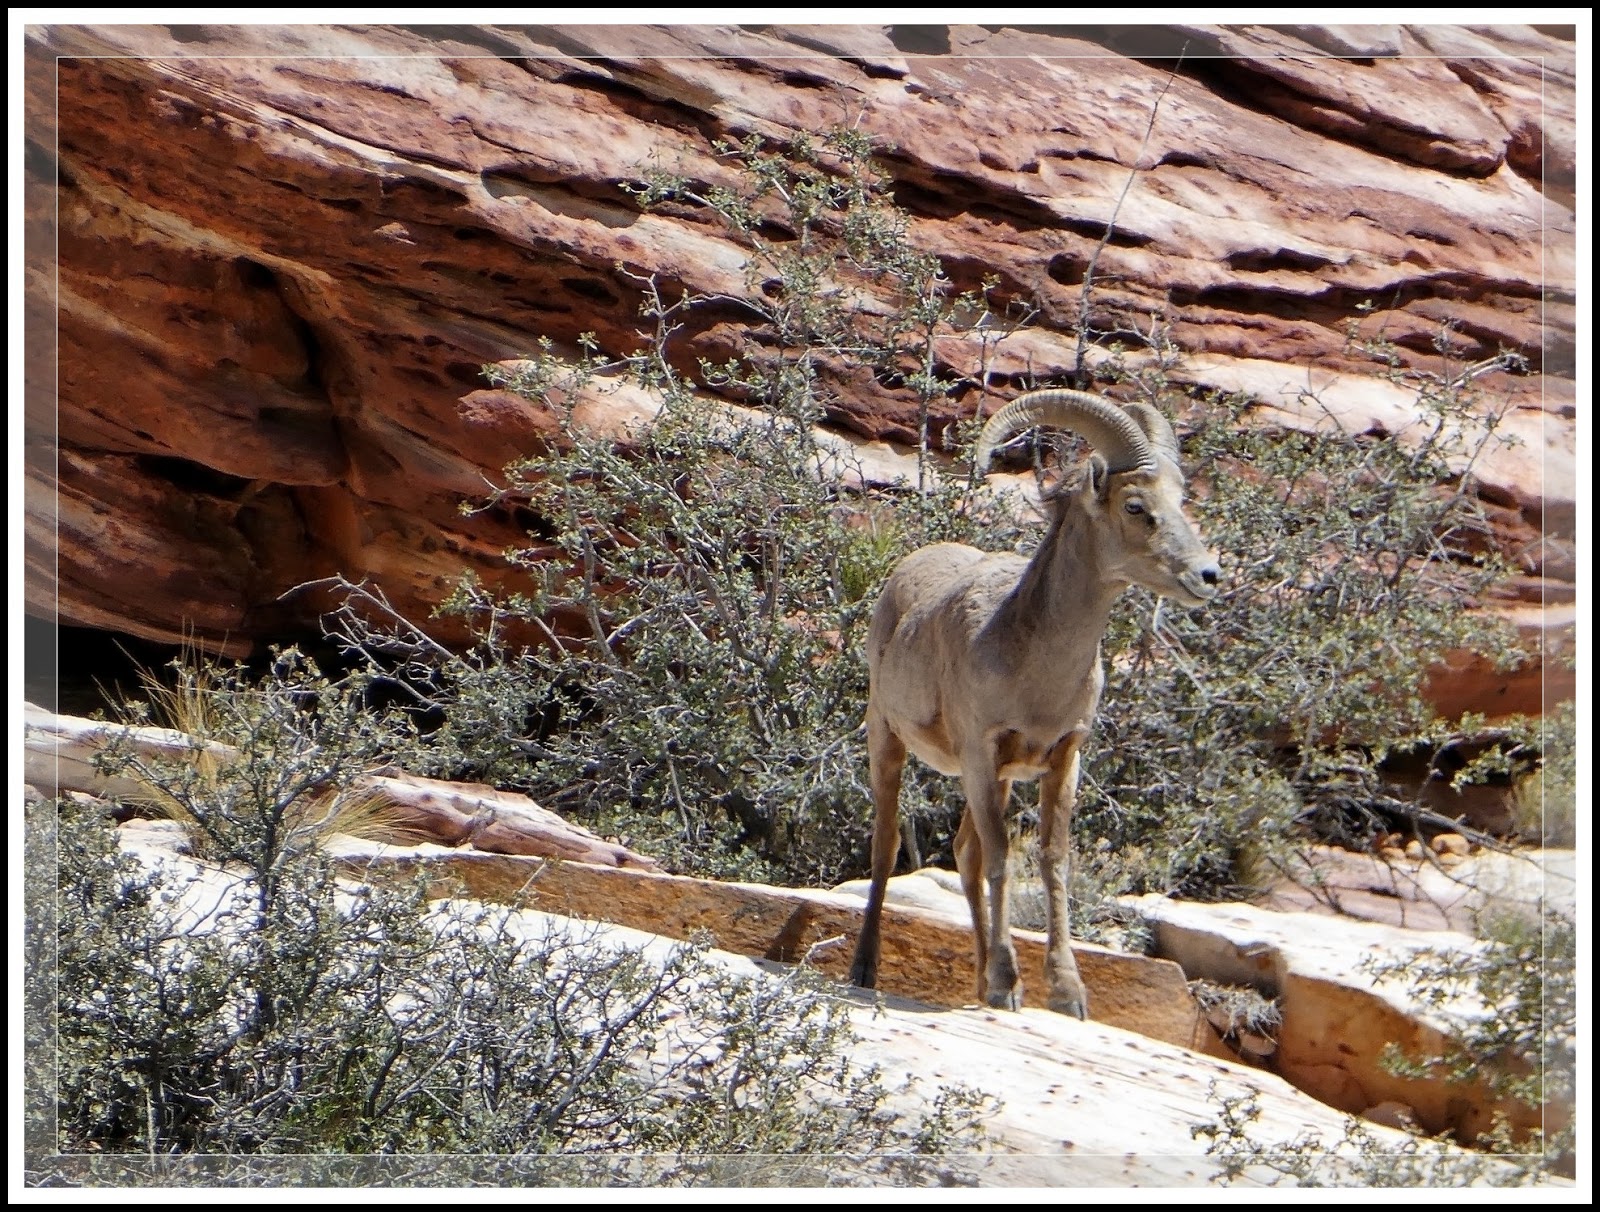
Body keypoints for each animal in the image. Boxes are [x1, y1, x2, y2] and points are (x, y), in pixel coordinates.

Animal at [847, 389, 1221, 1018]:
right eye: (1136, 506)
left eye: (1181, 500)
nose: (1207, 574)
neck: (1034, 671)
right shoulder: (981, 750)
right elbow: (1003, 856)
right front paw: (1009, 983)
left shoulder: (1062, 757)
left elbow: (1050, 860)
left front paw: (1064, 993)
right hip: (891, 742)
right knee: (888, 846)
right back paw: (868, 970)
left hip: (992, 780)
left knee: (965, 854)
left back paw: (980, 984)